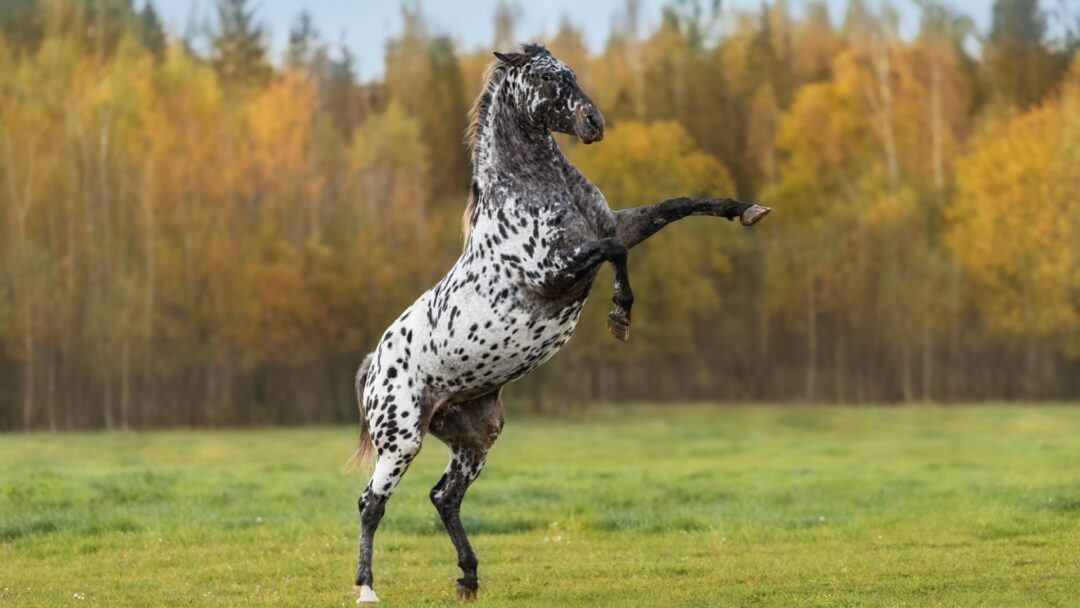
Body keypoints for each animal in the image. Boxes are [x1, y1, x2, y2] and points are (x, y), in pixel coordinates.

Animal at [350, 43, 770, 604]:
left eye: (571, 72)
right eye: (547, 80)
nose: (594, 123)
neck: (531, 185)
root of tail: (374, 364)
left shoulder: (616, 224)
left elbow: (677, 205)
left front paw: (747, 209)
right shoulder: (554, 270)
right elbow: (614, 253)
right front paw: (620, 315)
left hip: (475, 436)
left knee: (444, 497)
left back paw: (469, 577)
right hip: (401, 438)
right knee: (371, 503)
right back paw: (367, 588)